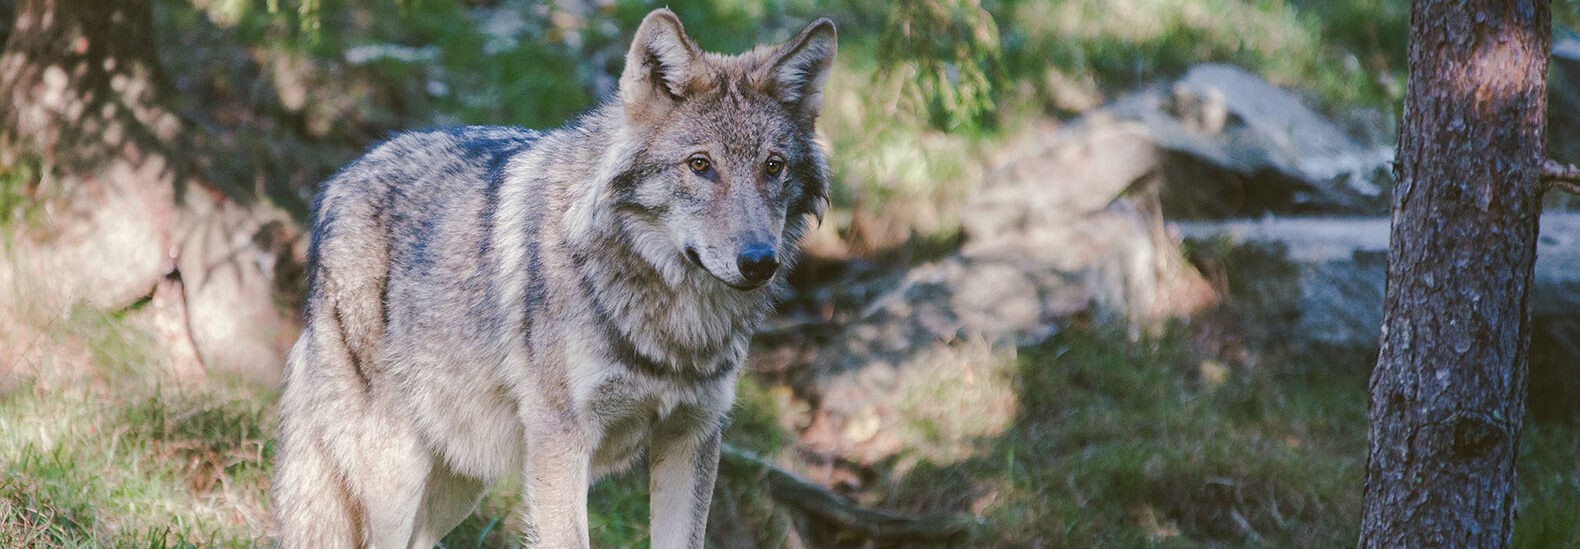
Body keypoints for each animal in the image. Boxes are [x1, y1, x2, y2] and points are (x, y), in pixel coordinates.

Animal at [270, 9, 835, 548]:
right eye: (700, 165)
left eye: (774, 167)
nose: (758, 261)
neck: (674, 326)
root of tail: (336, 183)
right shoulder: (563, 444)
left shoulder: (692, 436)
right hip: (394, 475)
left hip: (461, 476)